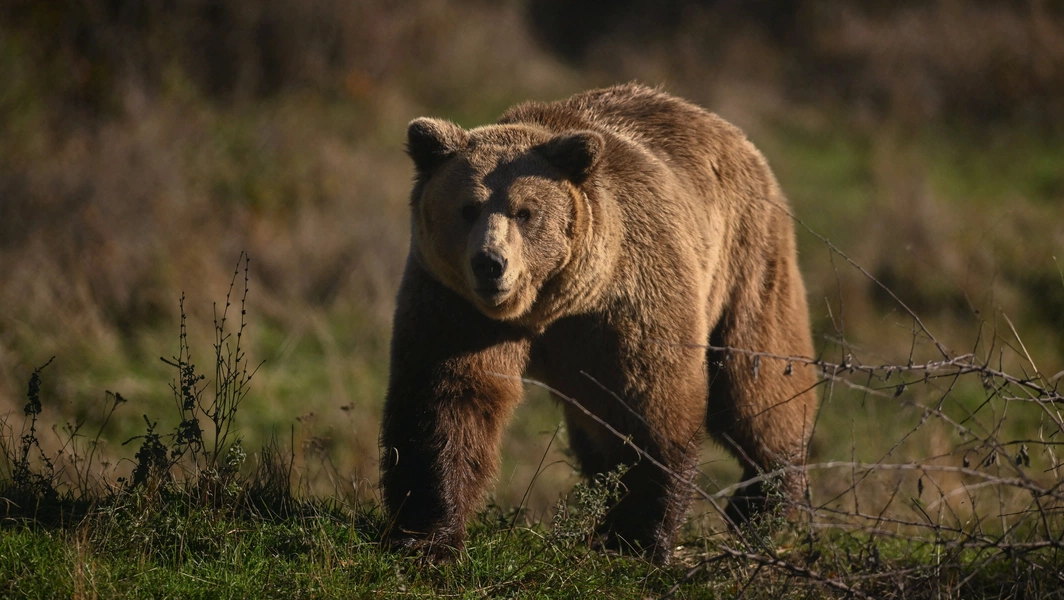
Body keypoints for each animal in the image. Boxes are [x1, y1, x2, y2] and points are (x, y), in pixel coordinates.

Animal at [379, 84, 818, 563]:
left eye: (524, 211)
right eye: (467, 208)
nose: (490, 263)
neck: (548, 304)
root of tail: (731, 132)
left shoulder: (628, 301)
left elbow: (652, 403)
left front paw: (637, 535)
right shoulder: (455, 303)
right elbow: (448, 399)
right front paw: (427, 535)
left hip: (746, 262)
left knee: (757, 385)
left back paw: (763, 503)